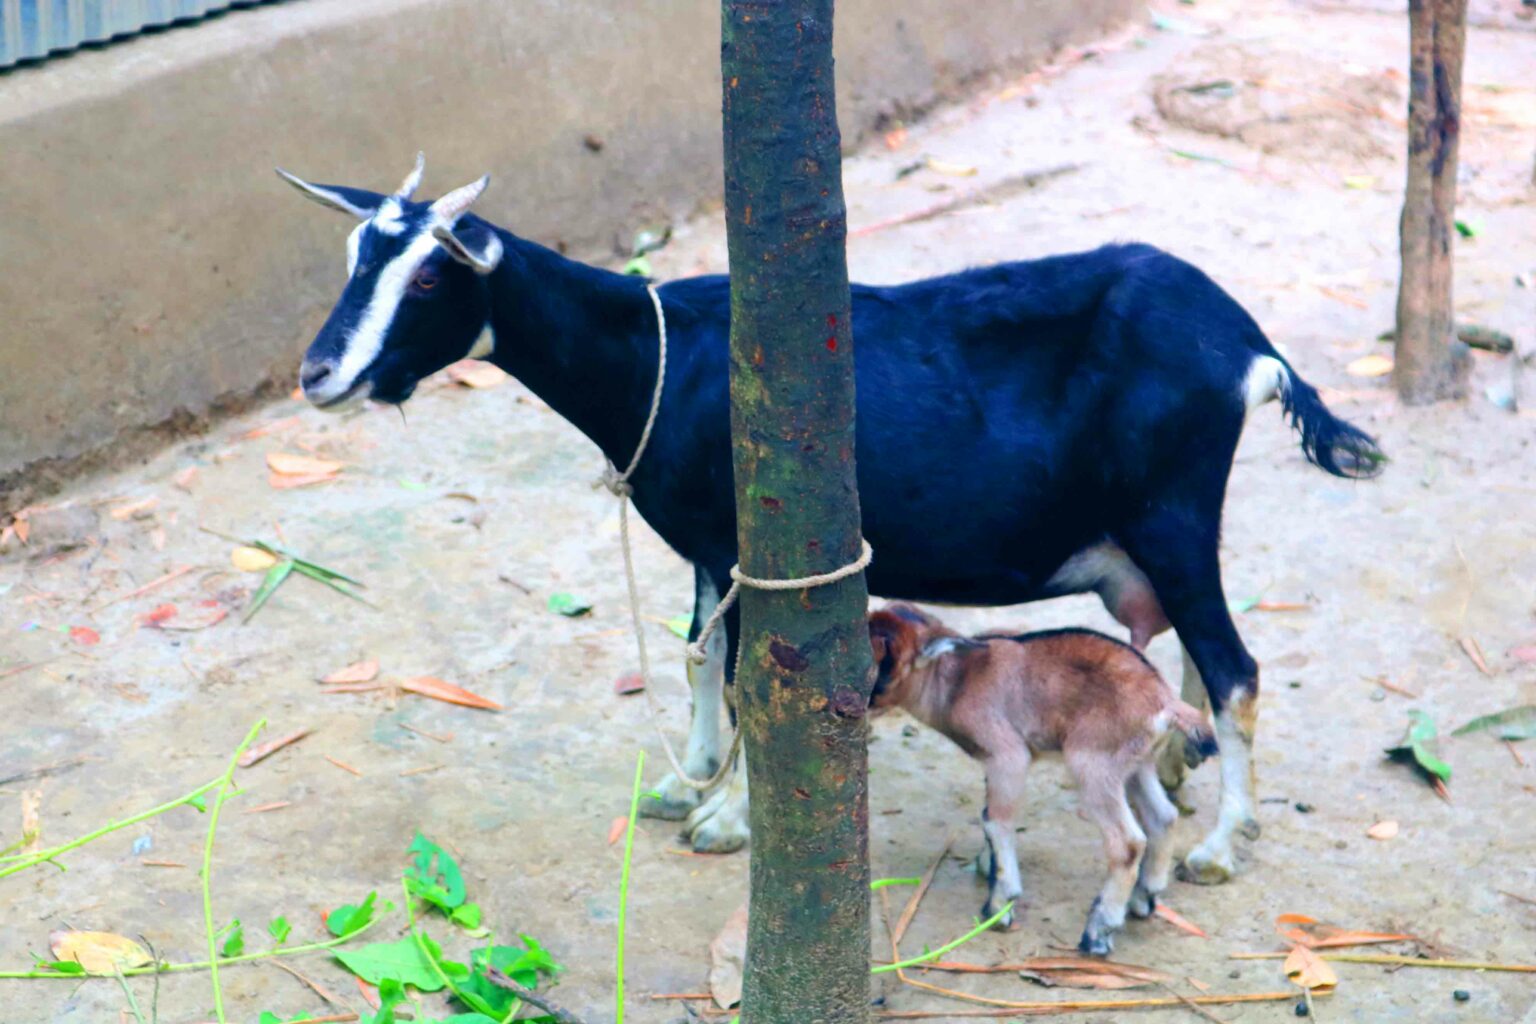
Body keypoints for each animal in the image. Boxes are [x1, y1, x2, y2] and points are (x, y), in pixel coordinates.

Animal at [277, 156, 1383, 875]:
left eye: (429, 270)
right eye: (351, 254)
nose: (319, 373)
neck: (656, 357)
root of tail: (1249, 343)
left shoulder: (745, 540)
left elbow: (742, 674)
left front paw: (725, 818)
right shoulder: (707, 547)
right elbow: (695, 657)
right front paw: (688, 781)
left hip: (1172, 508)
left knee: (1237, 670)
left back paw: (1219, 845)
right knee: (1201, 658)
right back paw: (1183, 773)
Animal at [867, 604, 1216, 954]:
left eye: (882, 660)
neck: (955, 678)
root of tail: (1166, 703)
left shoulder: (1008, 755)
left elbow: (995, 821)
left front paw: (999, 906)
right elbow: (988, 813)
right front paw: (986, 865)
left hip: (1093, 765)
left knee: (1127, 843)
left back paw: (1098, 931)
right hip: (1136, 765)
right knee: (1164, 818)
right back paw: (1144, 899)